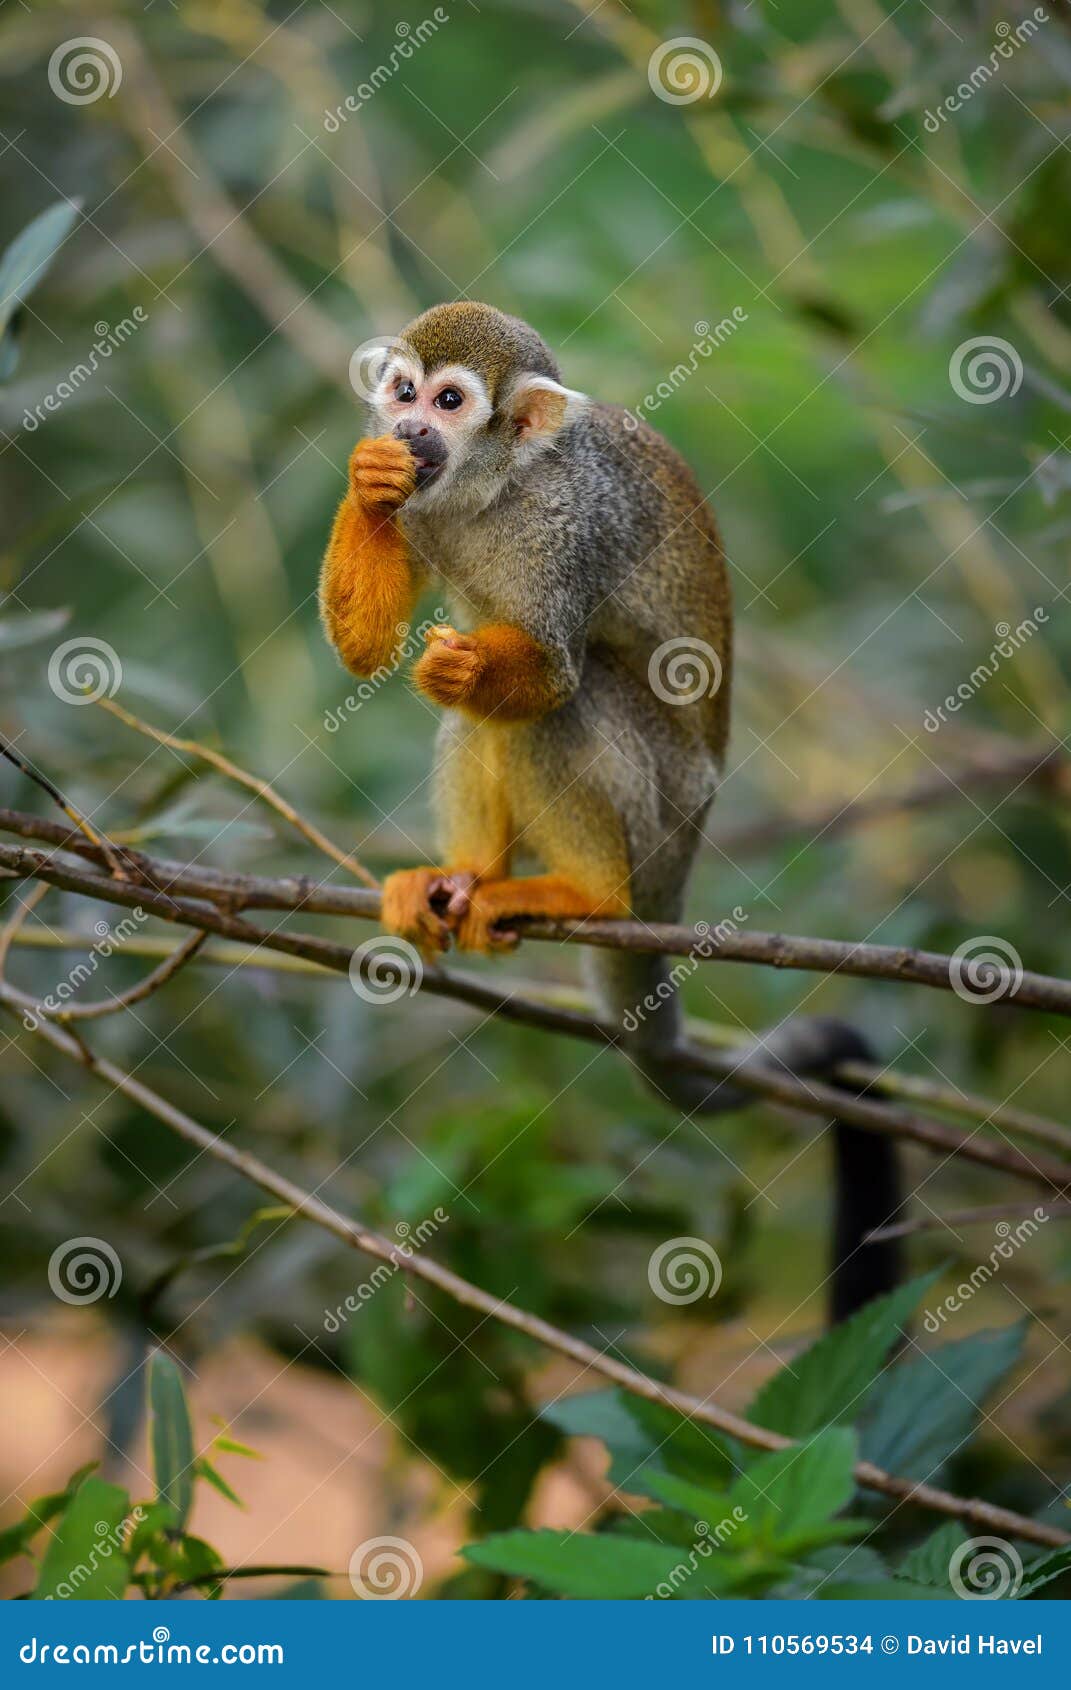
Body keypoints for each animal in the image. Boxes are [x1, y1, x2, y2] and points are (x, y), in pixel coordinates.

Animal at [319, 301, 900, 1319]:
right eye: (401, 393)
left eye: (449, 402)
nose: (410, 431)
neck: (490, 489)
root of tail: (682, 863)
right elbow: (365, 651)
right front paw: (368, 482)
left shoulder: (571, 526)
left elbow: (551, 674)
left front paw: (469, 666)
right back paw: (467, 878)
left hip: (659, 806)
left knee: (569, 696)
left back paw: (588, 895)